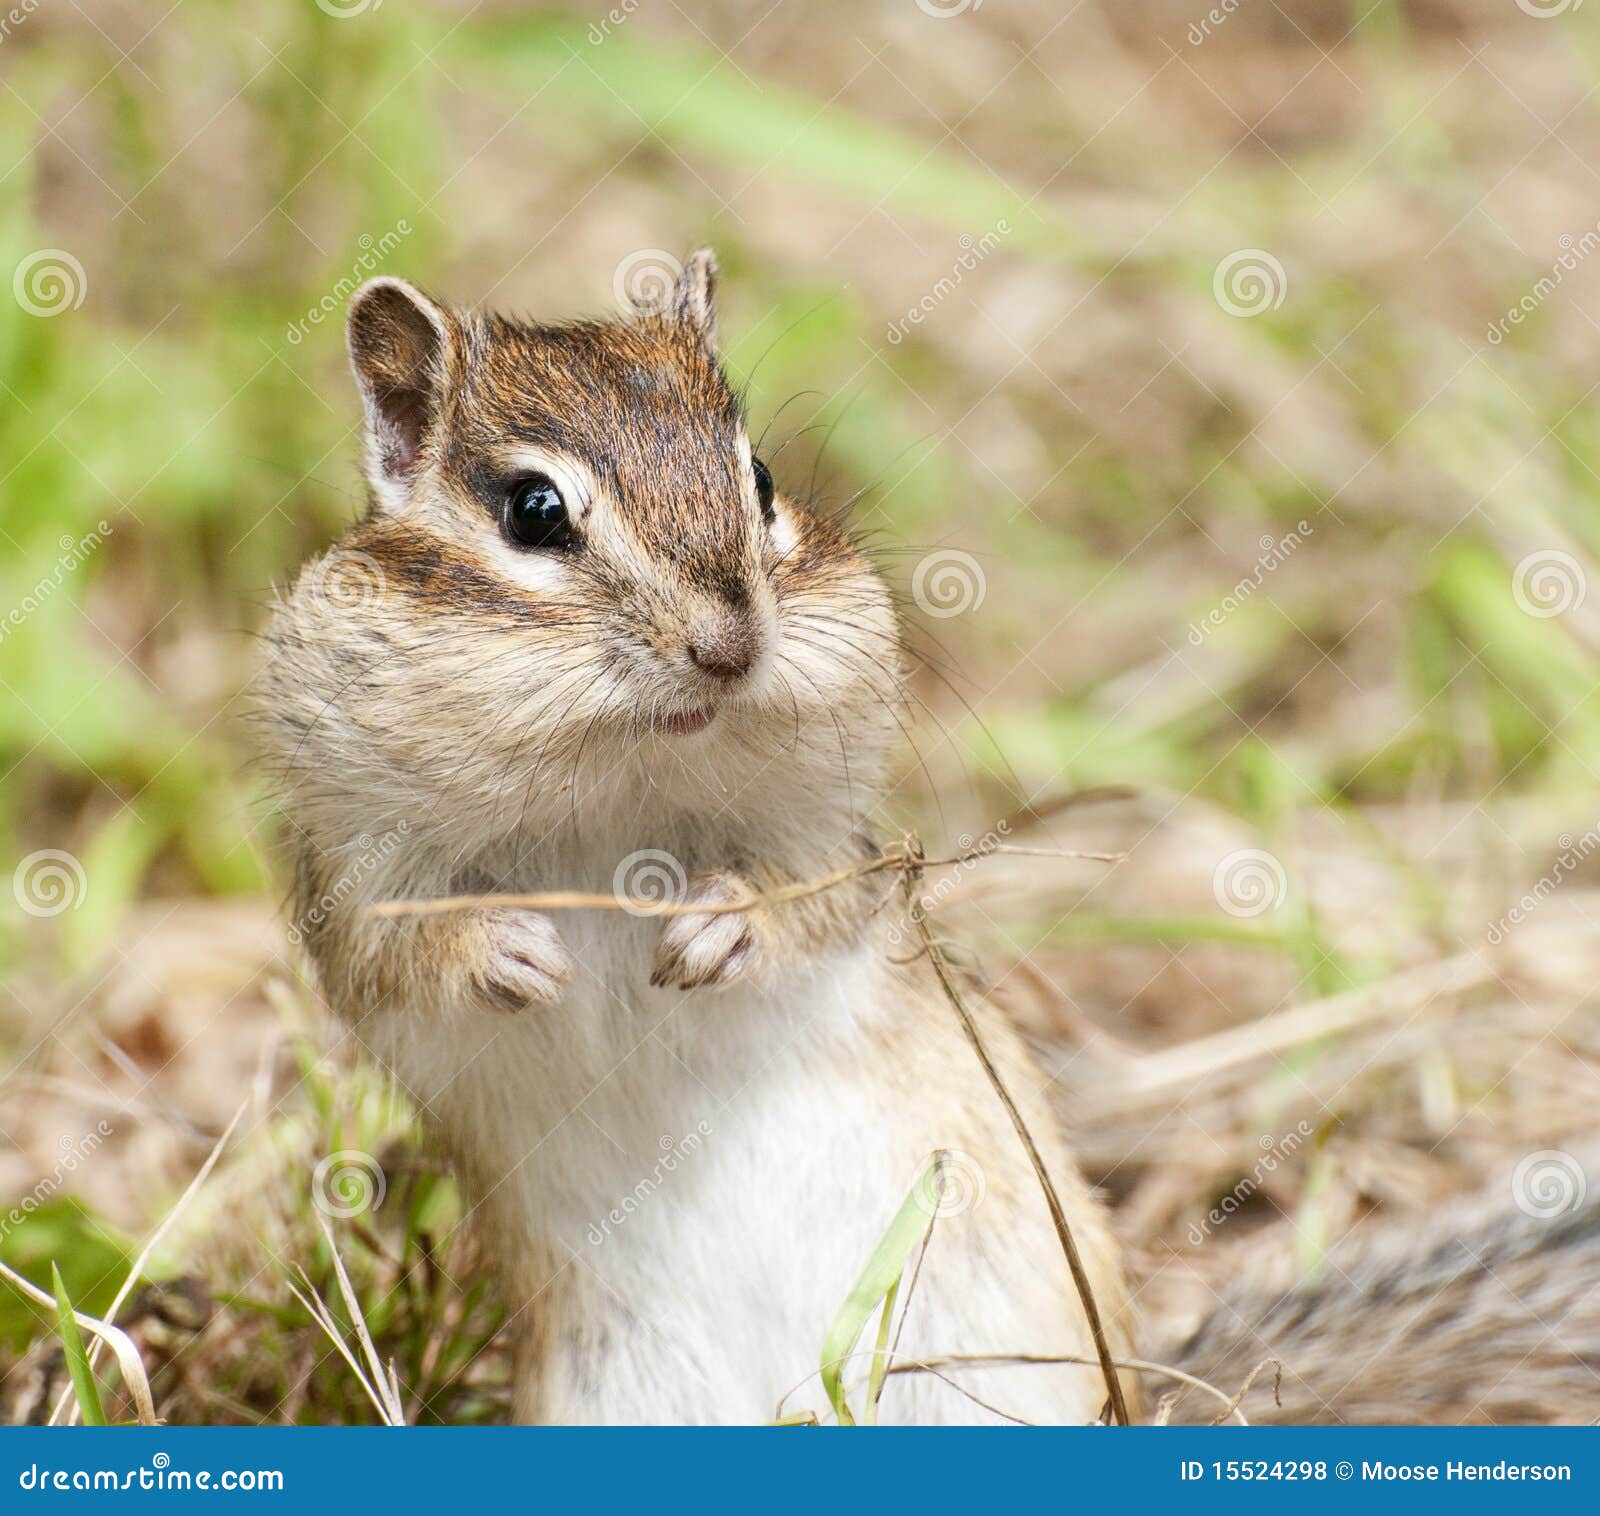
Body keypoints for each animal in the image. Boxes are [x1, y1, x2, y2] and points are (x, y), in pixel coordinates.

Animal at [258, 250, 1134, 1425]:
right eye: (534, 510)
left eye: (759, 480)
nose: (731, 646)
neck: (616, 791)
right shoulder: (352, 867)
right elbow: (385, 947)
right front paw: (506, 949)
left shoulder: (832, 839)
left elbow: (810, 896)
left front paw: (720, 927)